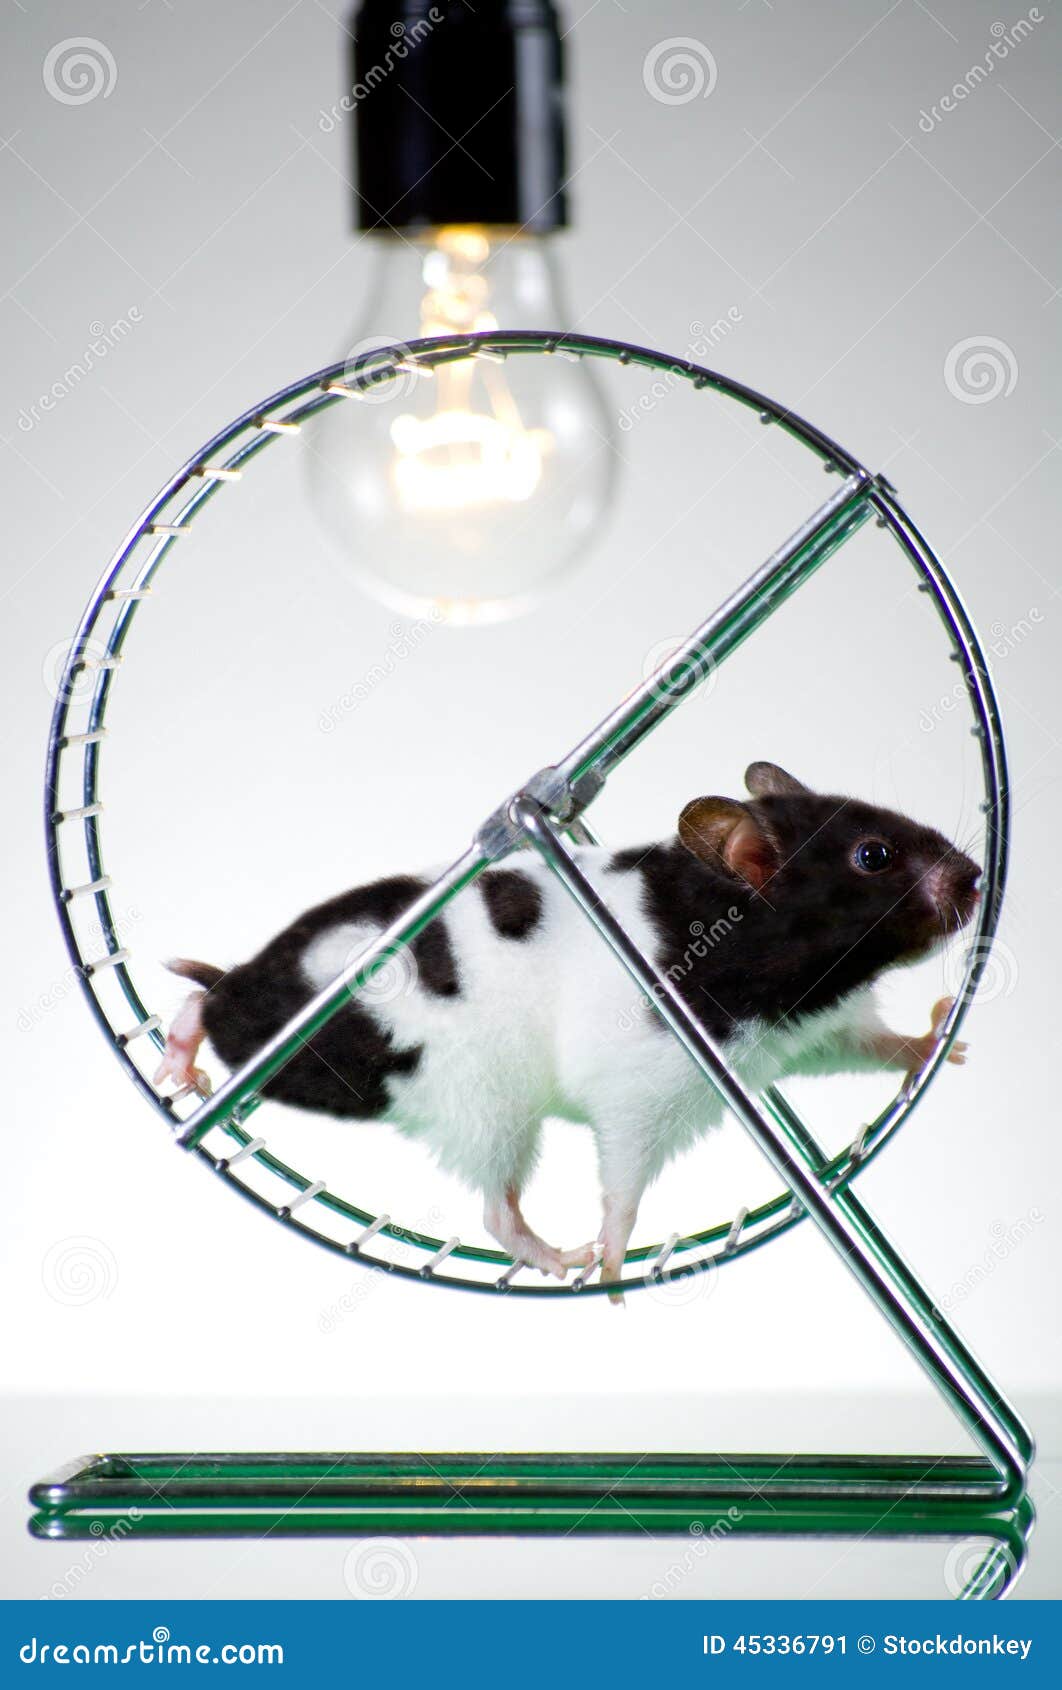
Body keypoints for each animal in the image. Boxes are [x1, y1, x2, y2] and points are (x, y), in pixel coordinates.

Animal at [156, 762, 980, 1287]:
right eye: (873, 855)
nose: (976, 879)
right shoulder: (640, 1092)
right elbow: (623, 1179)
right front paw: (614, 1267)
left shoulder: (812, 1033)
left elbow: (877, 1045)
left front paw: (947, 1039)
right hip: (473, 1104)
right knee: (495, 1211)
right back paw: (568, 1263)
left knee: (211, 1001)